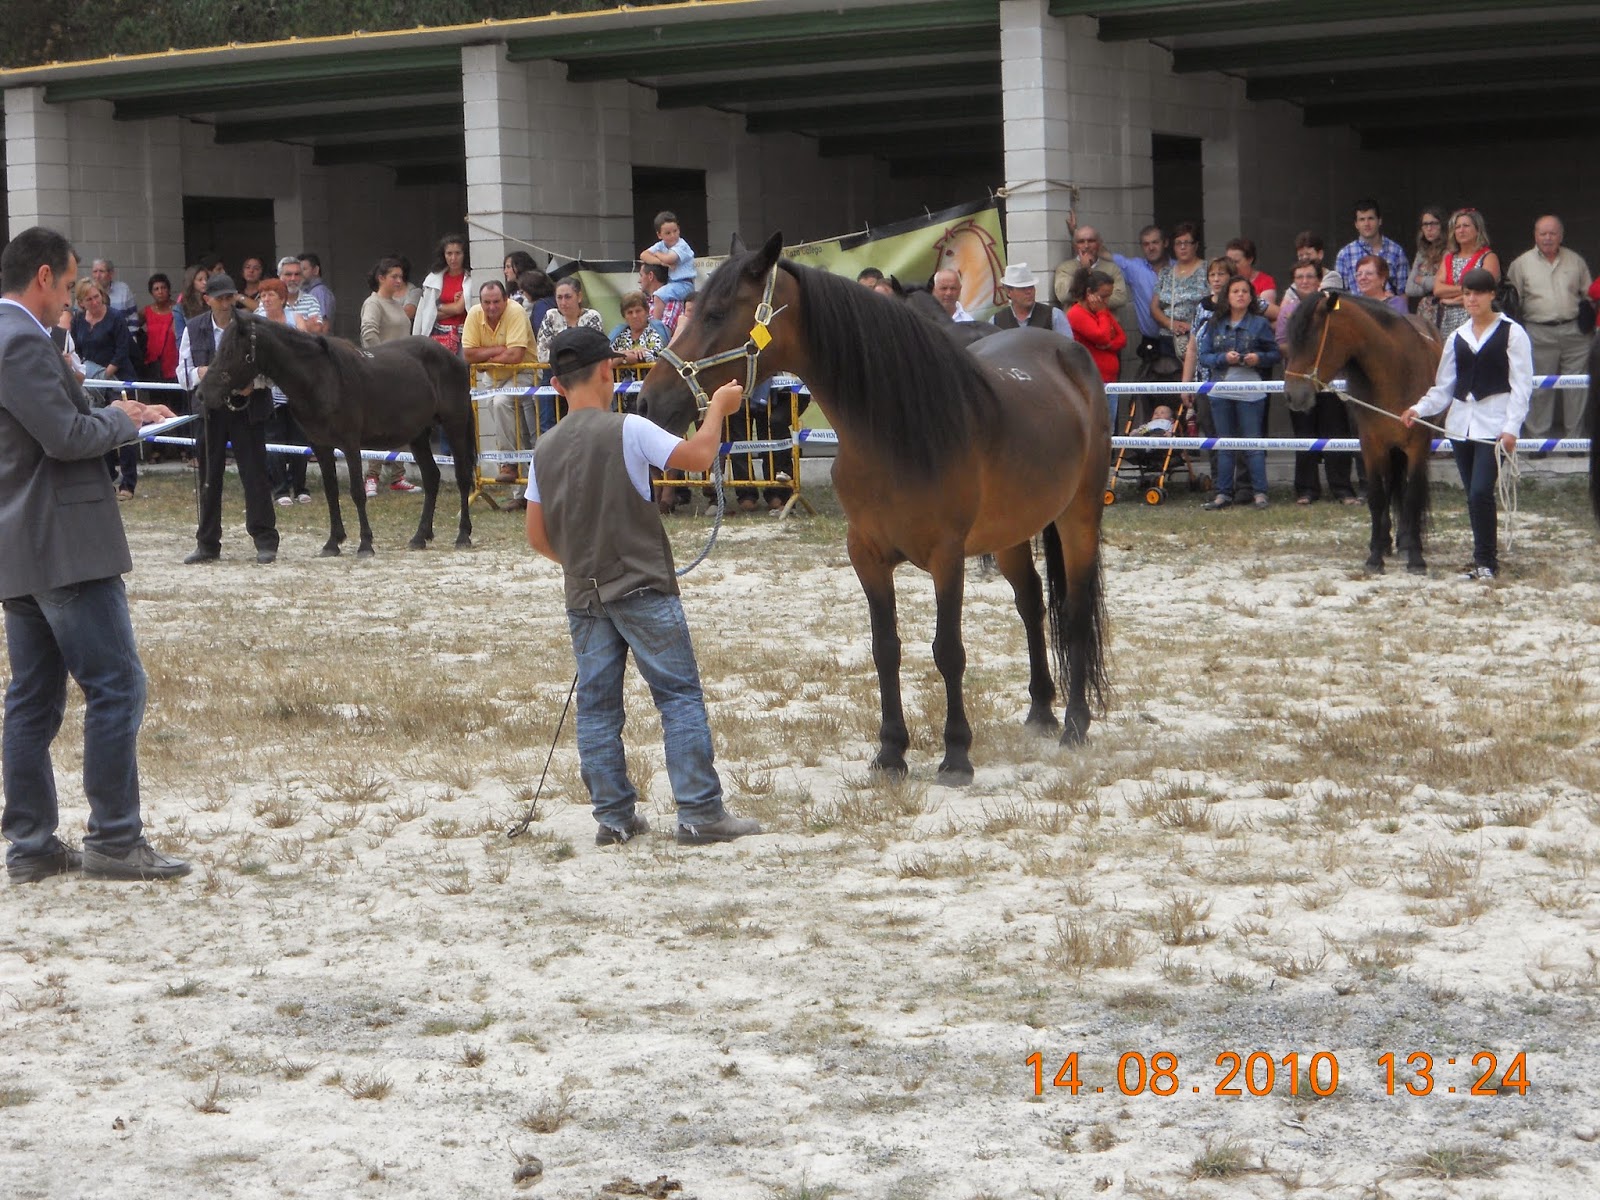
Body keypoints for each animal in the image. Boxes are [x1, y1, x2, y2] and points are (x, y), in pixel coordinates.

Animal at [195, 314, 476, 557]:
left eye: (230, 351)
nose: (203, 392)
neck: (321, 379)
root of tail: (454, 359)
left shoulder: (350, 444)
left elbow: (357, 492)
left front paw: (365, 544)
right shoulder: (321, 445)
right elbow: (332, 491)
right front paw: (333, 543)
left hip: (454, 425)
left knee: (463, 478)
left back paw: (463, 536)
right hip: (418, 434)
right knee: (432, 477)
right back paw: (420, 536)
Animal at [639, 233, 1110, 785]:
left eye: (715, 314)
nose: (647, 402)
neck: (895, 429)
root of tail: (1066, 352)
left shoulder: (947, 557)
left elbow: (948, 651)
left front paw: (956, 754)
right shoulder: (866, 554)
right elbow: (885, 649)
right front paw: (891, 752)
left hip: (1077, 517)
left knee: (1073, 613)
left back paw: (1074, 724)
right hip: (1011, 529)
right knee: (1032, 602)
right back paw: (1039, 711)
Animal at [1283, 290, 1443, 573]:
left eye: (1312, 340)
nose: (1293, 396)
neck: (1396, 372)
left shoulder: (1418, 446)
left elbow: (1412, 496)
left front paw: (1415, 557)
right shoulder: (1371, 445)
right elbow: (1377, 497)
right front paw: (1375, 556)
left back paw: (1406, 542)